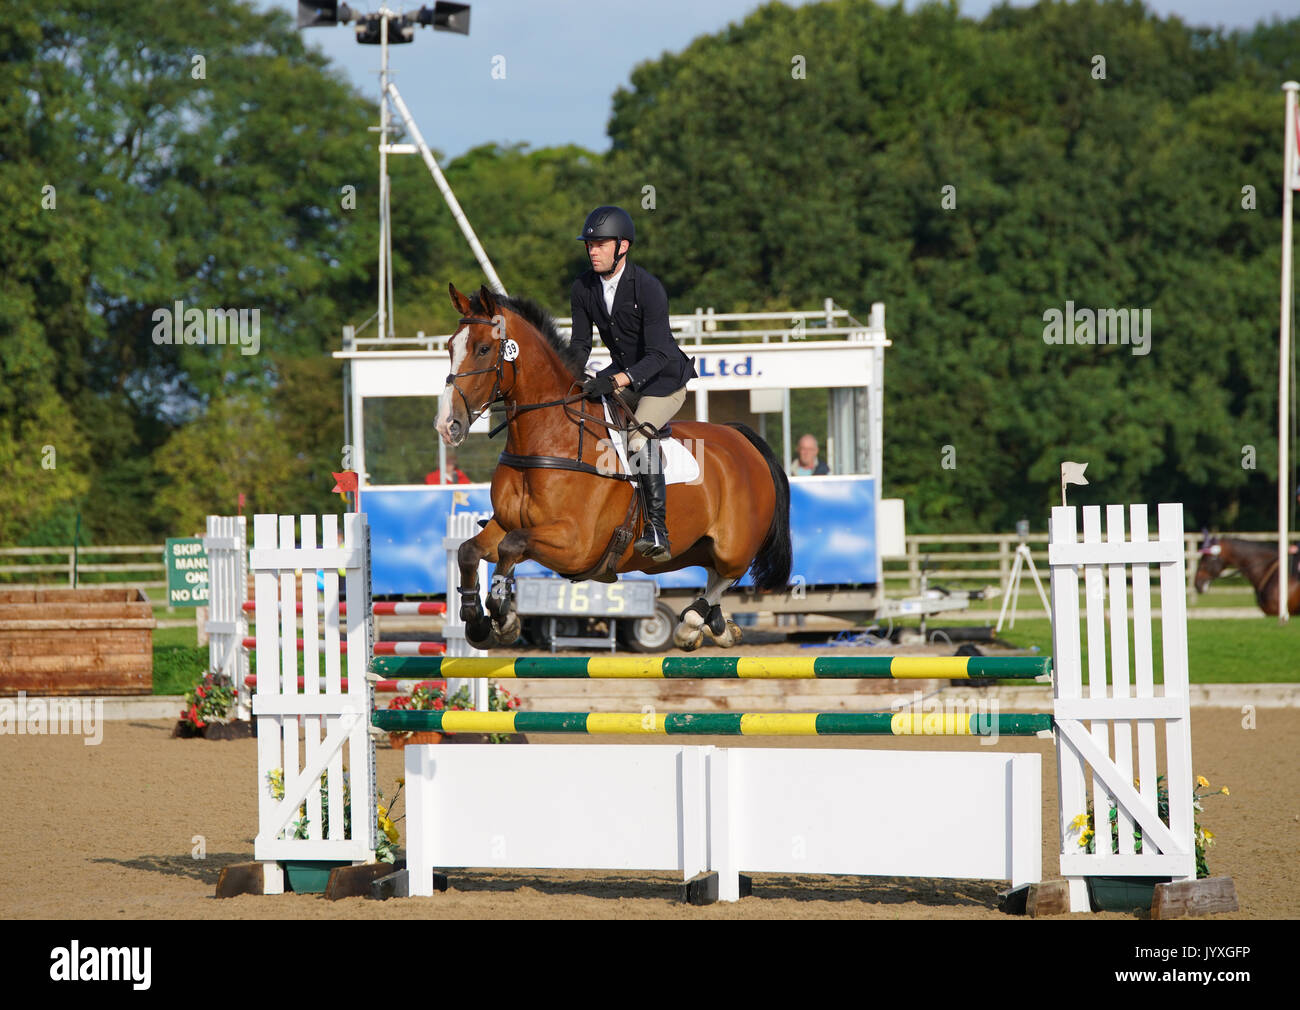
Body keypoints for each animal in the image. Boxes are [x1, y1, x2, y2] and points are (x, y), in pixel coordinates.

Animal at [434, 283, 790, 649]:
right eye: (450, 347)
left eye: (483, 349)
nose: (448, 425)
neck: (549, 435)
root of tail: (740, 437)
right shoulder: (504, 524)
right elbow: (469, 551)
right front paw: (479, 622)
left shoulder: (574, 544)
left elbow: (513, 545)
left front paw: (502, 614)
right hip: (692, 548)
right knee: (713, 576)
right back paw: (718, 626)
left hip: (733, 545)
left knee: (728, 574)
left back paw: (692, 624)